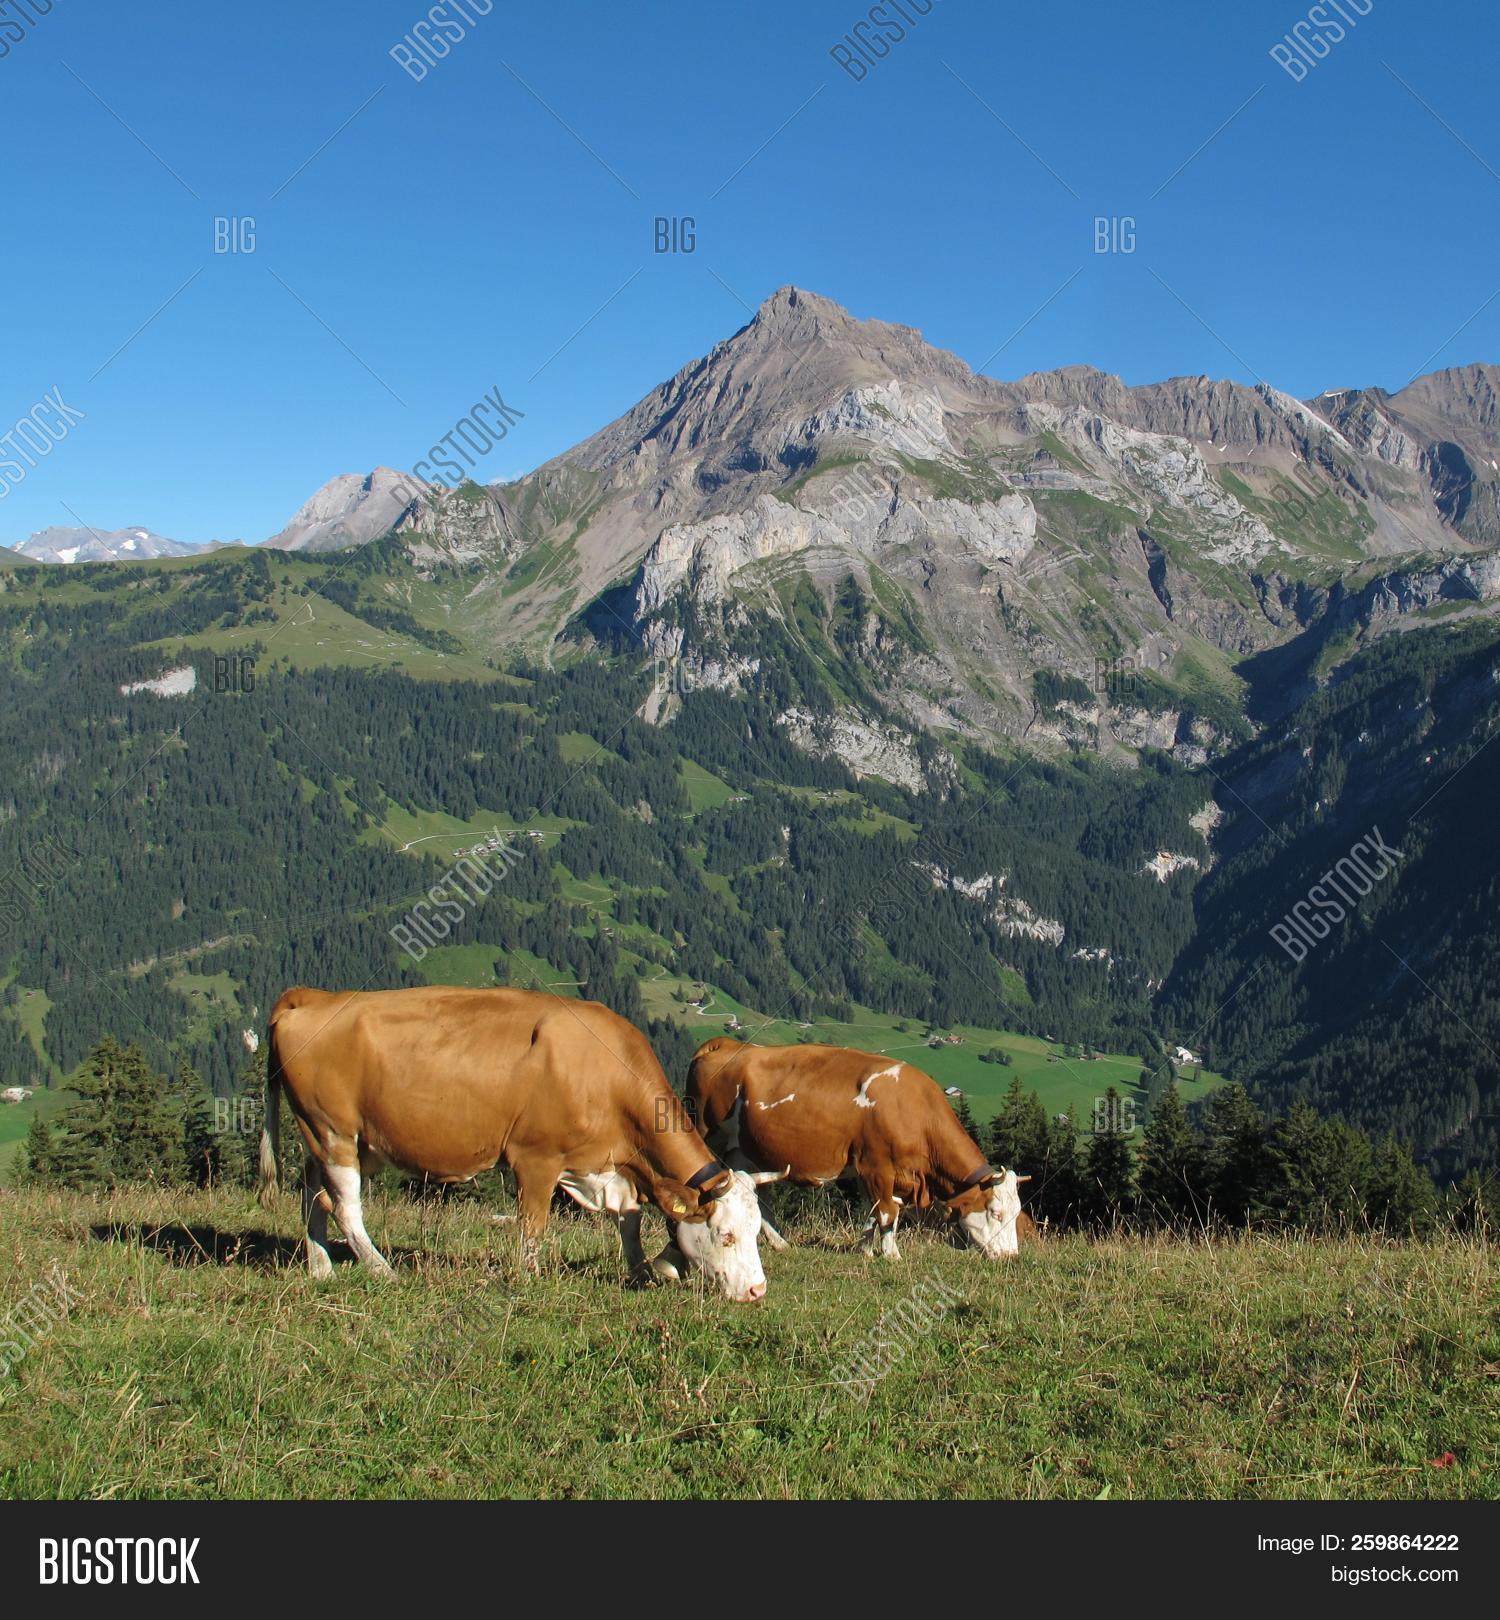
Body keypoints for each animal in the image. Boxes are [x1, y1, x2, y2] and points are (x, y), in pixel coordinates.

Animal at [256, 986, 786, 1302]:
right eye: (726, 1235)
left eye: (756, 1231)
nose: (758, 1291)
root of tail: (312, 997)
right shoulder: (536, 1159)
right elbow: (533, 1225)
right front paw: (528, 1278)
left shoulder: (609, 1166)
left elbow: (630, 1220)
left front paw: (640, 1271)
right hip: (334, 1132)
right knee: (345, 1207)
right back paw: (382, 1270)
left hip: (329, 1137)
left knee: (313, 1193)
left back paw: (320, 1266)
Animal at [685, 1038, 1030, 1260]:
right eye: (996, 1212)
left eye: (1017, 1213)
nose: (1010, 1256)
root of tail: (724, 1043)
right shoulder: (876, 1166)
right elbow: (888, 1213)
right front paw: (891, 1255)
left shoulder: (877, 1172)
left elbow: (874, 1211)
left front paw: (864, 1249)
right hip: (706, 1136)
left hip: (748, 1153)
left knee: (759, 1194)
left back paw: (780, 1243)